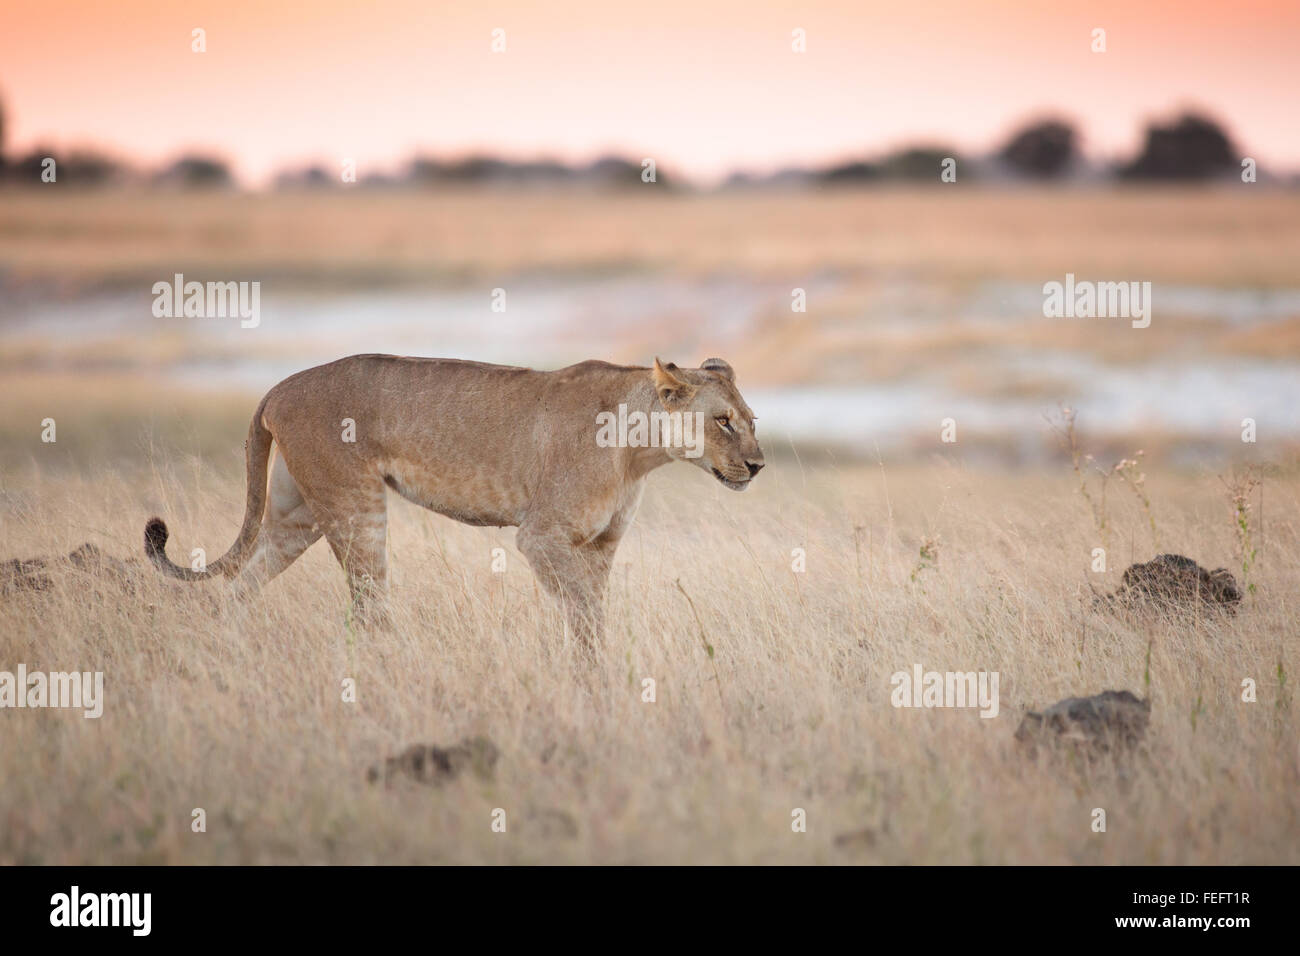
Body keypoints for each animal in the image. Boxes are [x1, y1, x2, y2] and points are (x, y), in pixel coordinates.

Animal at [144, 355, 764, 647]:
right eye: (723, 421)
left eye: (752, 420)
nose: (758, 466)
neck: (639, 452)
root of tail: (276, 387)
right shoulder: (541, 536)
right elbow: (583, 612)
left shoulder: (599, 546)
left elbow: (592, 613)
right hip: (356, 506)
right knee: (369, 608)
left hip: (297, 514)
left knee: (239, 586)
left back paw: (232, 647)